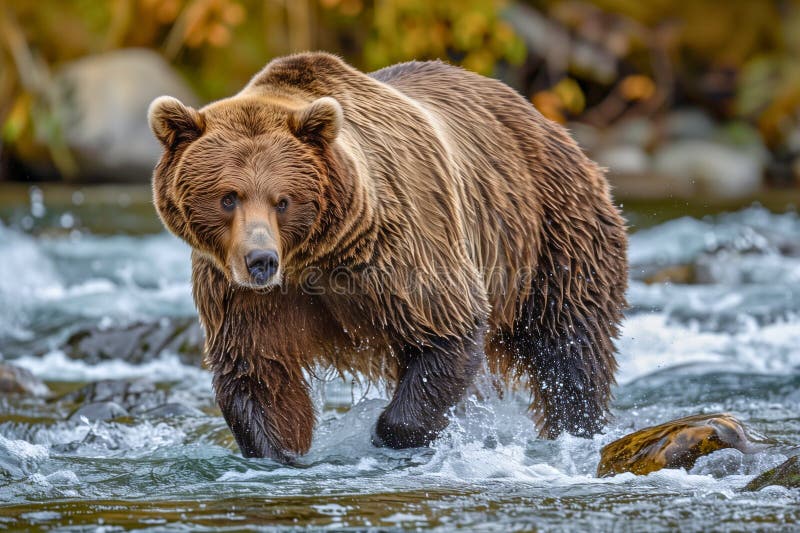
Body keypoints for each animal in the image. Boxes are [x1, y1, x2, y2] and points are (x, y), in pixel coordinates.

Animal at [148, 52, 628, 463]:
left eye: (283, 200)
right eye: (228, 197)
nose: (261, 260)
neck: (316, 254)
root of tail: (550, 125)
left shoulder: (398, 250)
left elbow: (447, 328)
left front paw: (388, 433)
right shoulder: (241, 292)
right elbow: (257, 369)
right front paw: (279, 450)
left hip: (550, 233)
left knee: (571, 347)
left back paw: (576, 427)